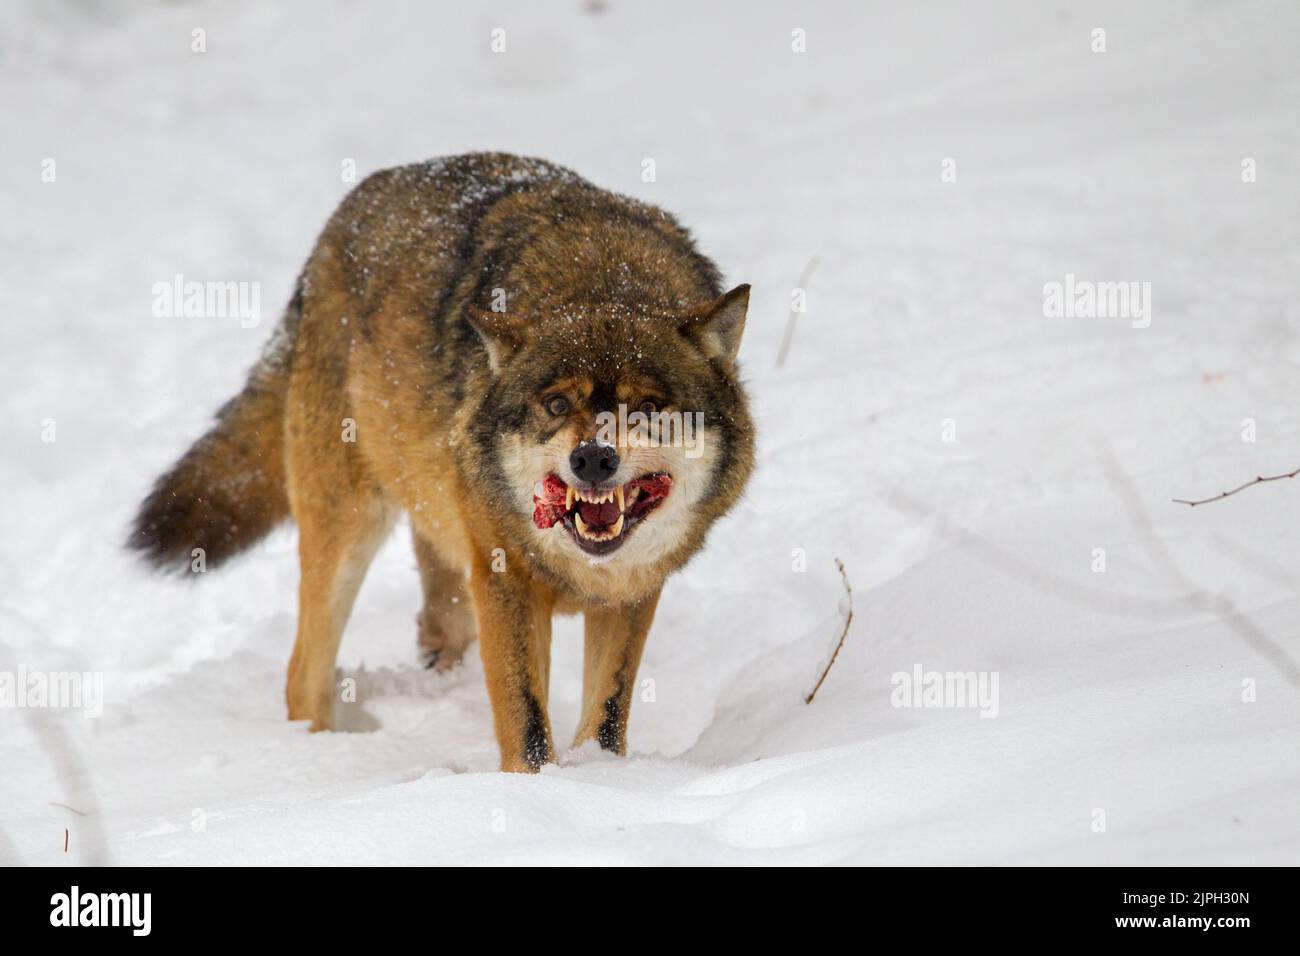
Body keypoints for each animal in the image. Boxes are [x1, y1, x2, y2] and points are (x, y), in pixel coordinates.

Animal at [130, 153, 755, 772]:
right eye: (556, 404)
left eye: (647, 407)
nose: (593, 459)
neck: (603, 271)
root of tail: (350, 209)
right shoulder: (504, 579)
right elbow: (528, 725)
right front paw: (538, 786)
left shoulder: (630, 593)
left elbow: (605, 719)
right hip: (349, 530)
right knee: (302, 675)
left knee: (435, 625)